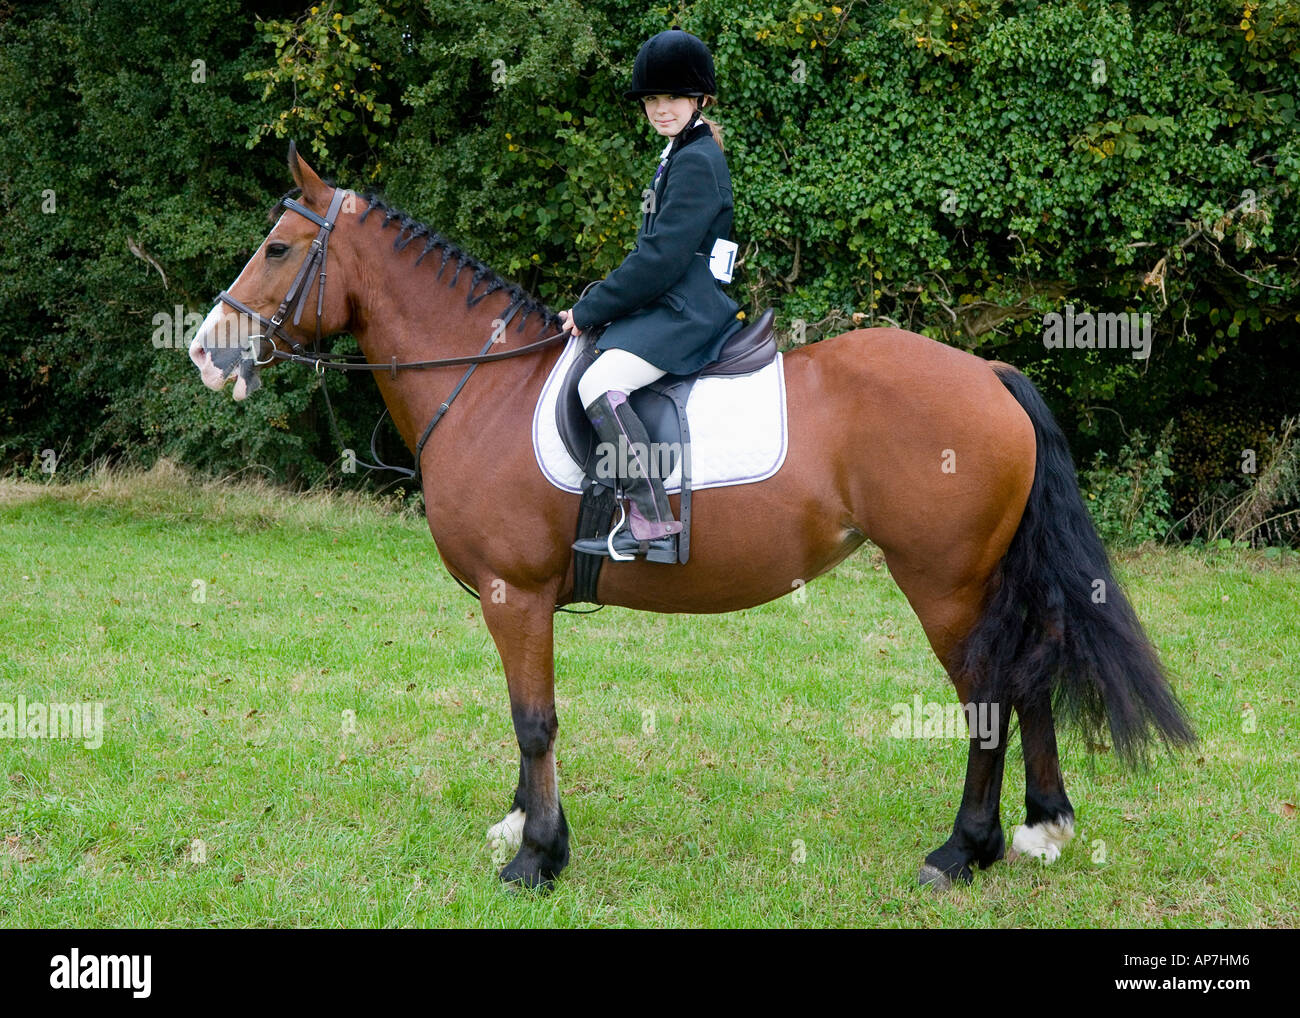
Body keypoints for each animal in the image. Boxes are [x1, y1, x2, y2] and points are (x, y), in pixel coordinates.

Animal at [189, 143, 1195, 891]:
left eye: (278, 249)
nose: (204, 350)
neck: (479, 386)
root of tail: (986, 371)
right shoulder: (516, 603)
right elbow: (524, 718)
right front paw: (521, 825)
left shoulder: (515, 595)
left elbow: (533, 719)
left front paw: (536, 859)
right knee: (1026, 680)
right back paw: (1040, 831)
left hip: (944, 582)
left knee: (989, 690)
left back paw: (963, 851)